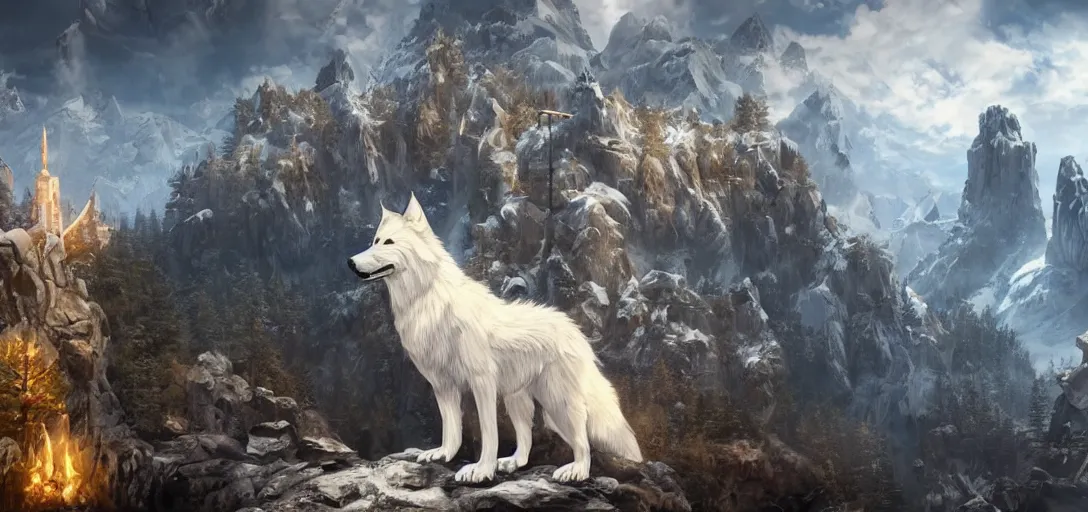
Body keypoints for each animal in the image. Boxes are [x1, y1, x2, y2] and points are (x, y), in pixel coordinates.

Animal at [347, 193, 643, 483]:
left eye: (388, 242)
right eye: (375, 241)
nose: (350, 262)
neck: (426, 300)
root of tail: (576, 332)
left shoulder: (482, 383)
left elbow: (489, 433)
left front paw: (481, 470)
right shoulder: (443, 385)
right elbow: (451, 428)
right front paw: (443, 454)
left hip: (557, 402)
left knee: (583, 440)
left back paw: (576, 470)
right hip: (518, 400)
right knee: (526, 441)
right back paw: (511, 463)